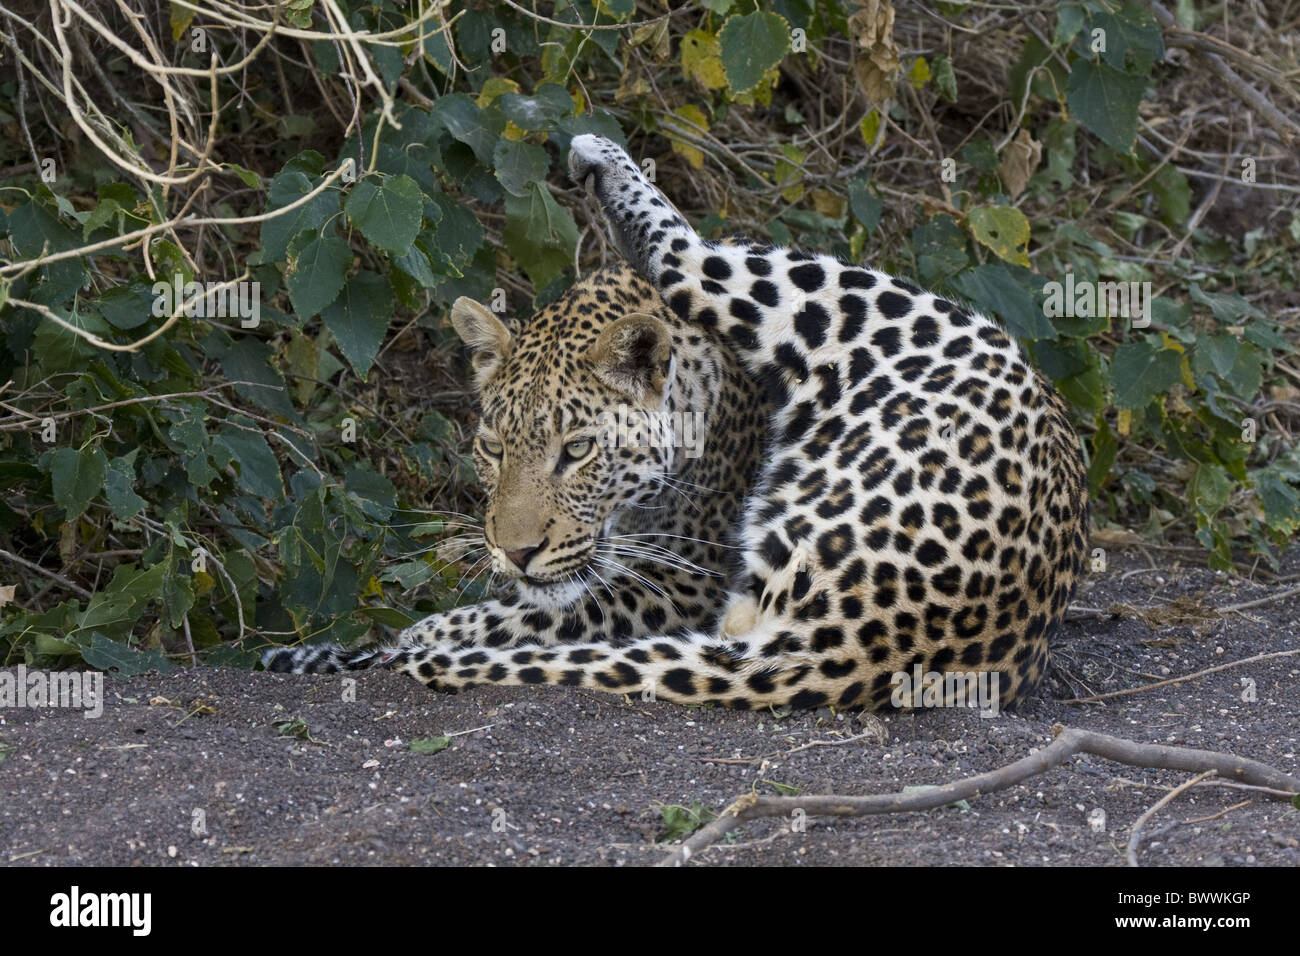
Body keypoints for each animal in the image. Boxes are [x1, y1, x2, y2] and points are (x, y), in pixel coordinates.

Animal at [263, 133, 1089, 712]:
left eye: (578, 451)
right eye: (492, 450)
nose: (516, 551)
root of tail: (881, 641)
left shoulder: (678, 580)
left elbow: (532, 614)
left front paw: (424, 633)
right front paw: (319, 656)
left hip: (846, 298)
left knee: (694, 253)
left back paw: (600, 158)